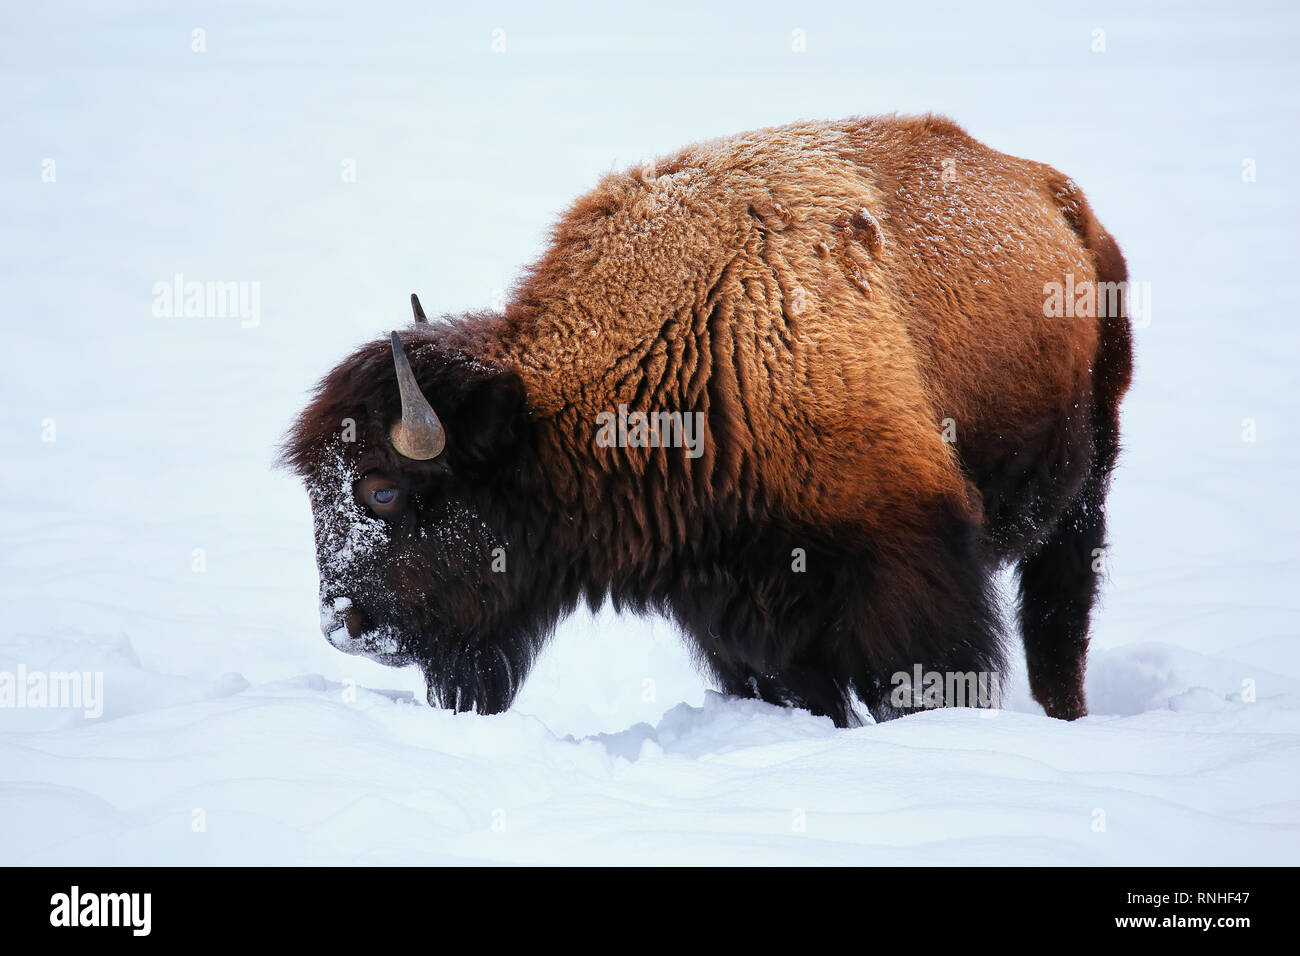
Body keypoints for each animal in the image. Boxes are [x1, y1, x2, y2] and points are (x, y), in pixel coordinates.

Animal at [284, 114, 1133, 726]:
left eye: (381, 490)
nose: (341, 624)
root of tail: (1062, 200)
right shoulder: (738, 619)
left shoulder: (909, 570)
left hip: (1085, 492)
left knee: (1058, 622)